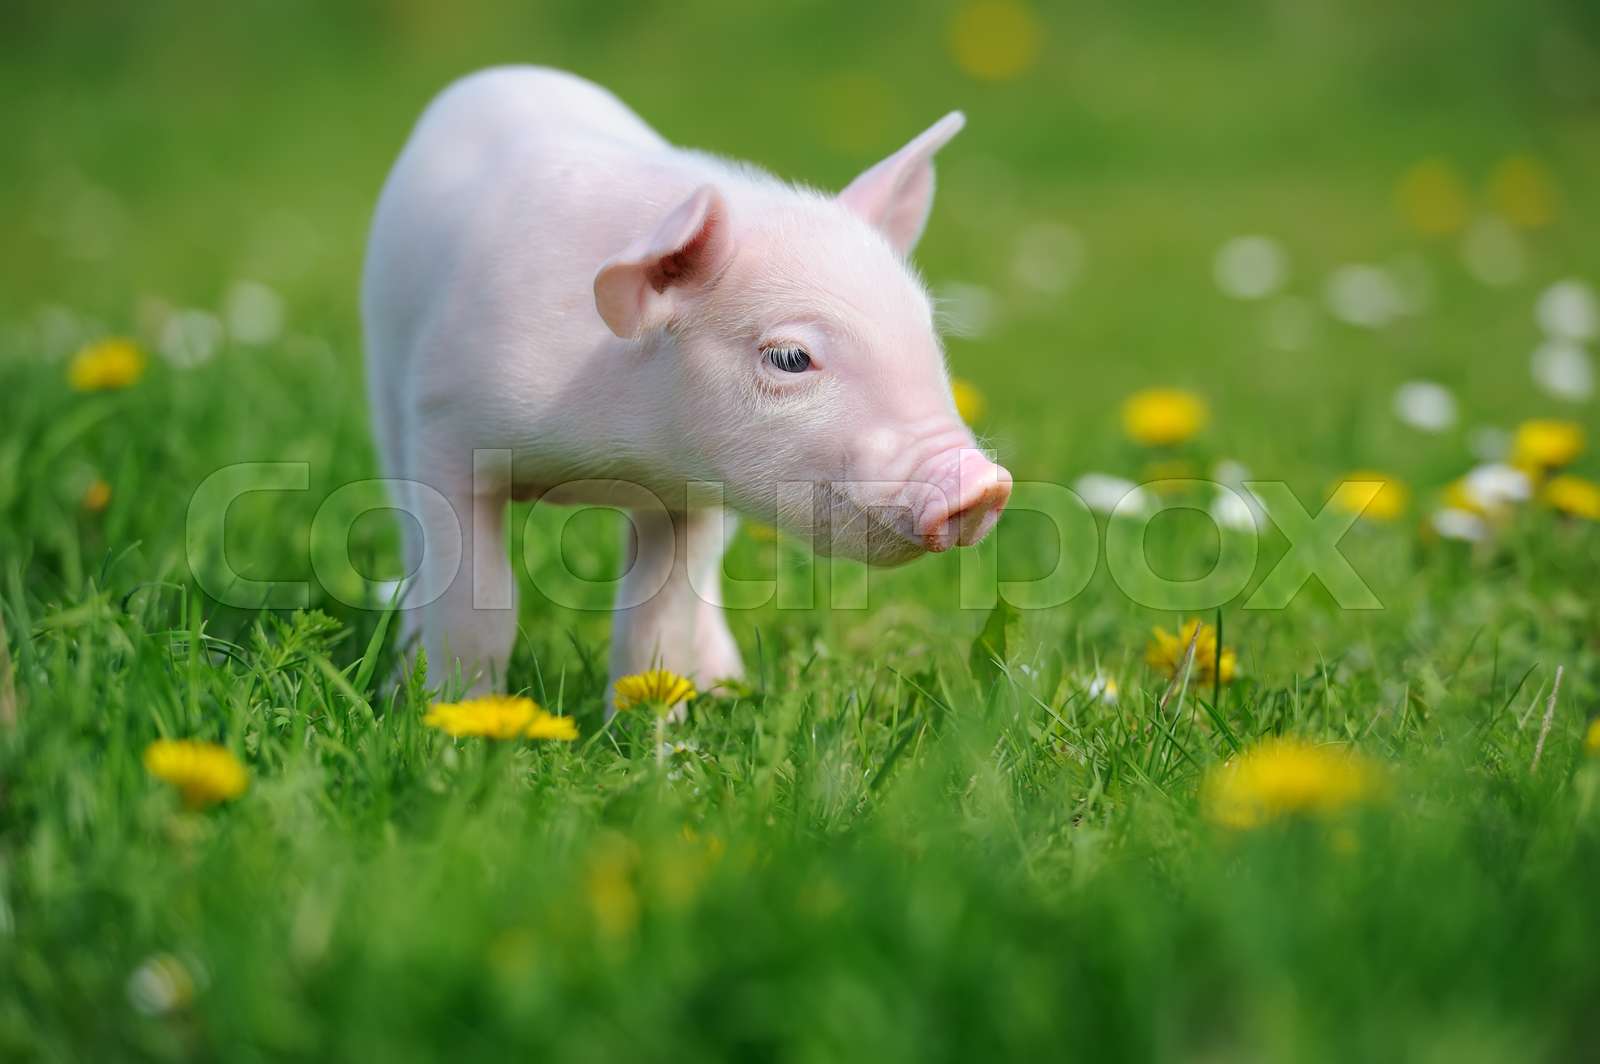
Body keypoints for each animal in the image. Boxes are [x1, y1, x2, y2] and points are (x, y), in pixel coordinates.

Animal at [361, 66, 1013, 698]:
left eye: (925, 333)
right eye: (790, 357)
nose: (983, 484)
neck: (611, 461)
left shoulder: (693, 497)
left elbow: (657, 623)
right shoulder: (446, 428)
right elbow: (478, 606)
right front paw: (456, 716)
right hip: (387, 393)